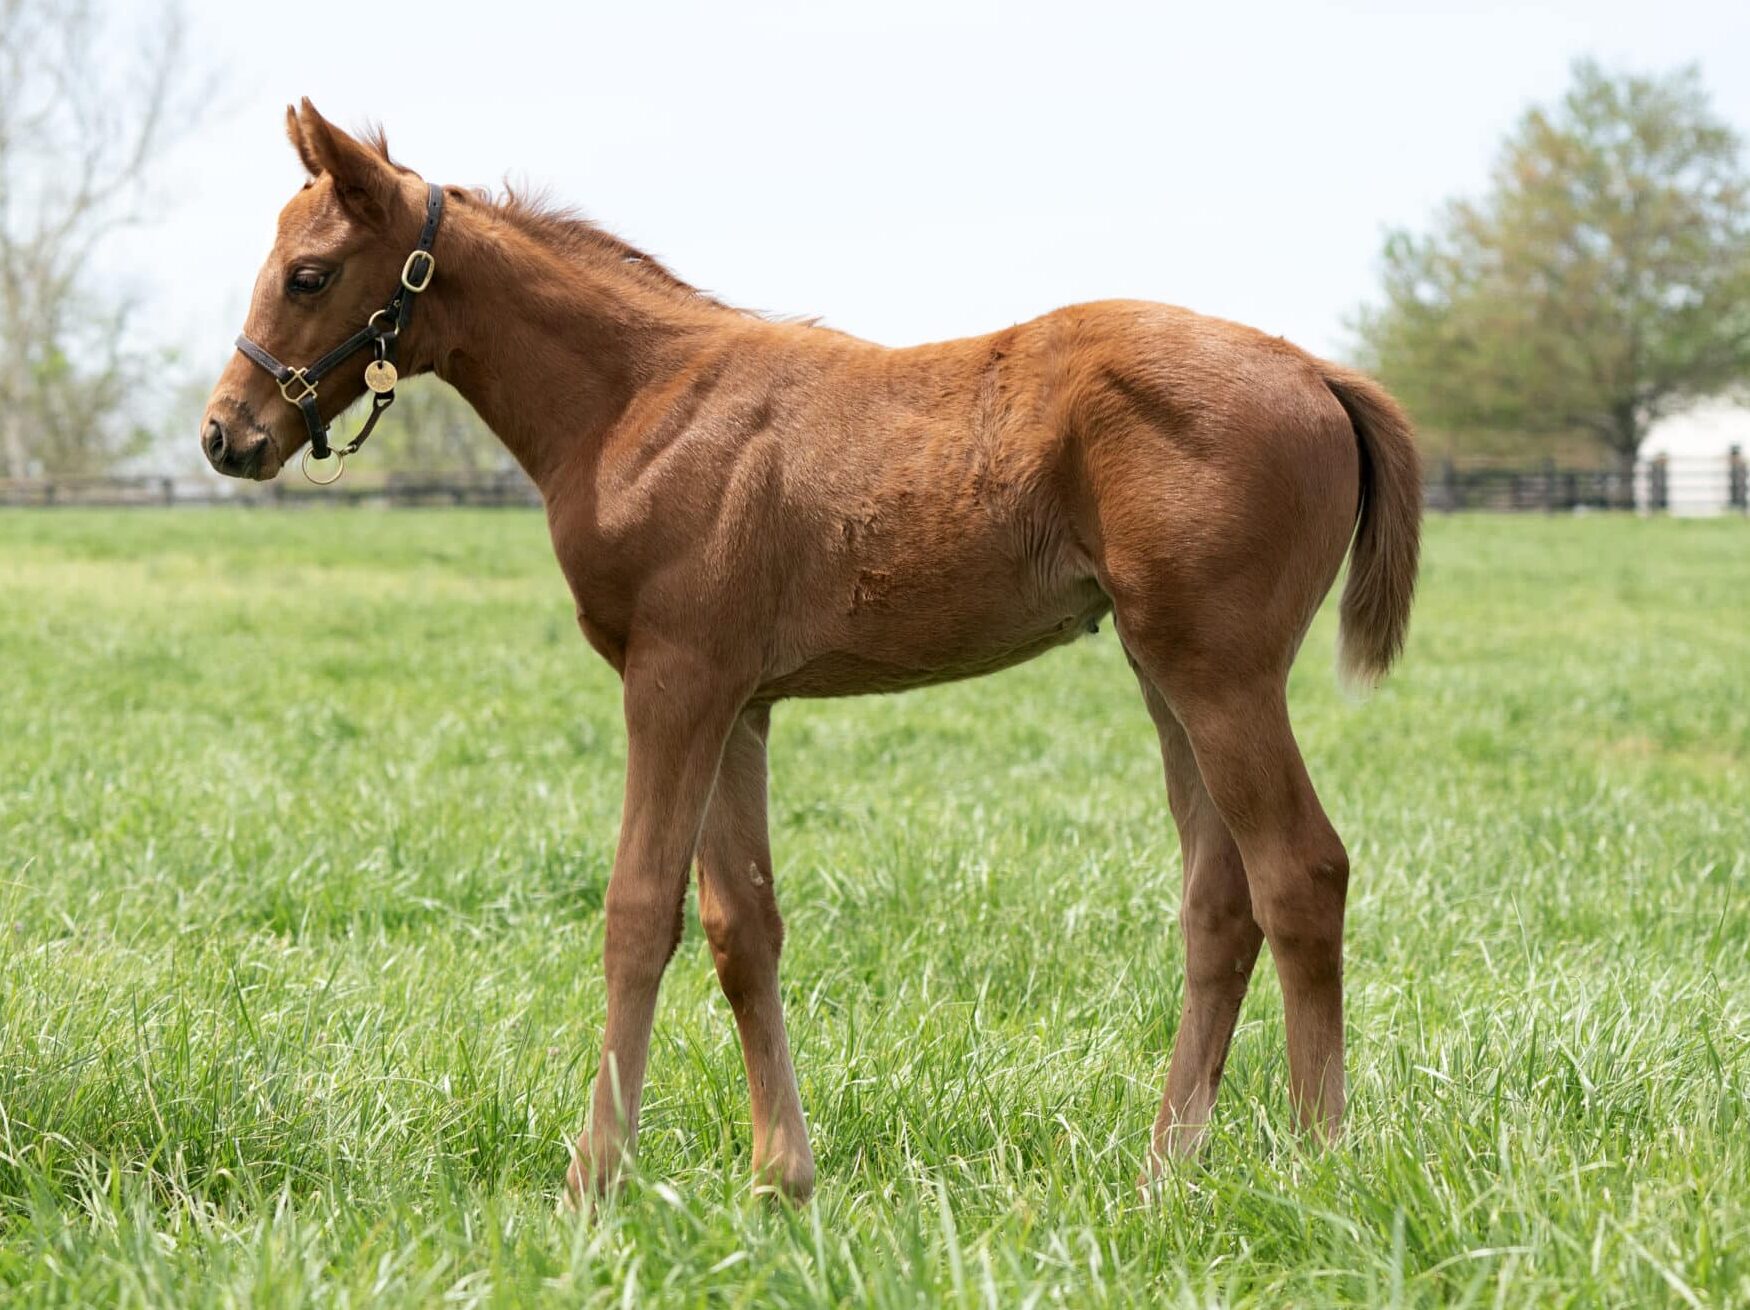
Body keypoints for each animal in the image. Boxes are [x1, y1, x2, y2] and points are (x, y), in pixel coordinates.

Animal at [200, 100, 1421, 1204]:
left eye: (308, 274)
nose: (227, 434)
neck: (637, 404)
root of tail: (1317, 373)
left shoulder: (674, 679)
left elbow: (639, 911)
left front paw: (593, 1180)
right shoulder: (739, 700)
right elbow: (744, 926)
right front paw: (779, 1179)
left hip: (1224, 674)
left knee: (1301, 870)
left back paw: (1320, 1166)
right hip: (1164, 671)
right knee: (1218, 900)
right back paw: (1165, 1173)